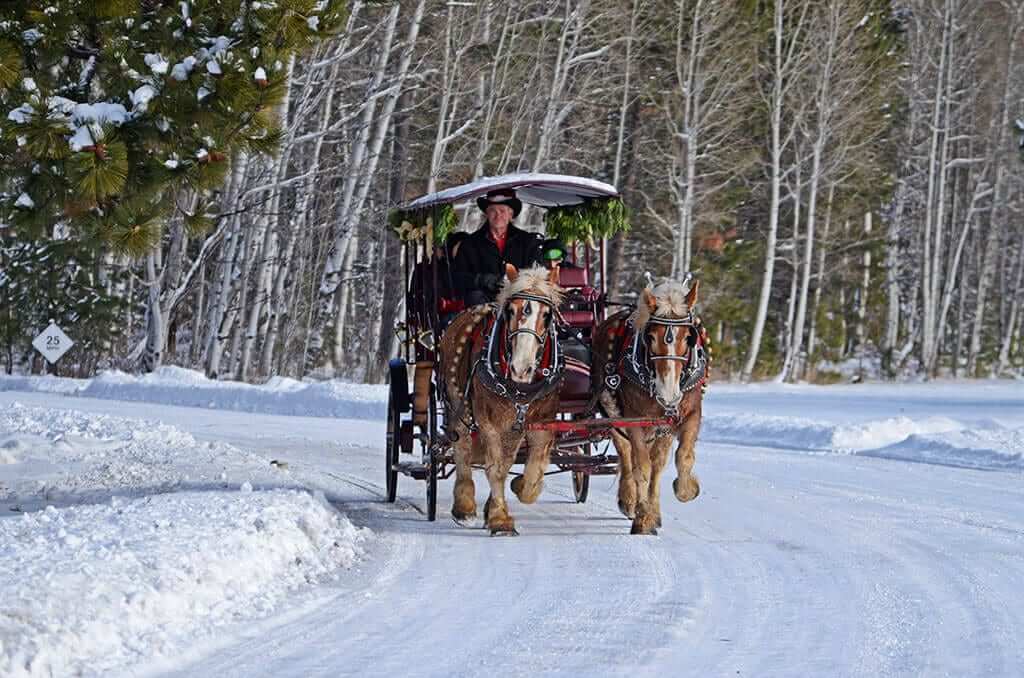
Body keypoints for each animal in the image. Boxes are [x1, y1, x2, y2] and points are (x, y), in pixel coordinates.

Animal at [440, 266, 569, 536]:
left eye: (547, 315)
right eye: (511, 311)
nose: (521, 368)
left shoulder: (538, 422)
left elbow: (531, 471)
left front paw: (518, 487)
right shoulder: (489, 422)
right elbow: (495, 468)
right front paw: (500, 520)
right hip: (459, 406)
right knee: (462, 450)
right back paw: (464, 507)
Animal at [589, 276, 708, 536]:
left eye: (689, 337)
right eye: (651, 337)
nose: (669, 393)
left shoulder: (689, 414)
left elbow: (682, 457)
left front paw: (686, 490)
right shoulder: (633, 420)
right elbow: (641, 467)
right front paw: (642, 518)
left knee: (658, 463)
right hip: (614, 414)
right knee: (627, 454)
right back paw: (629, 501)